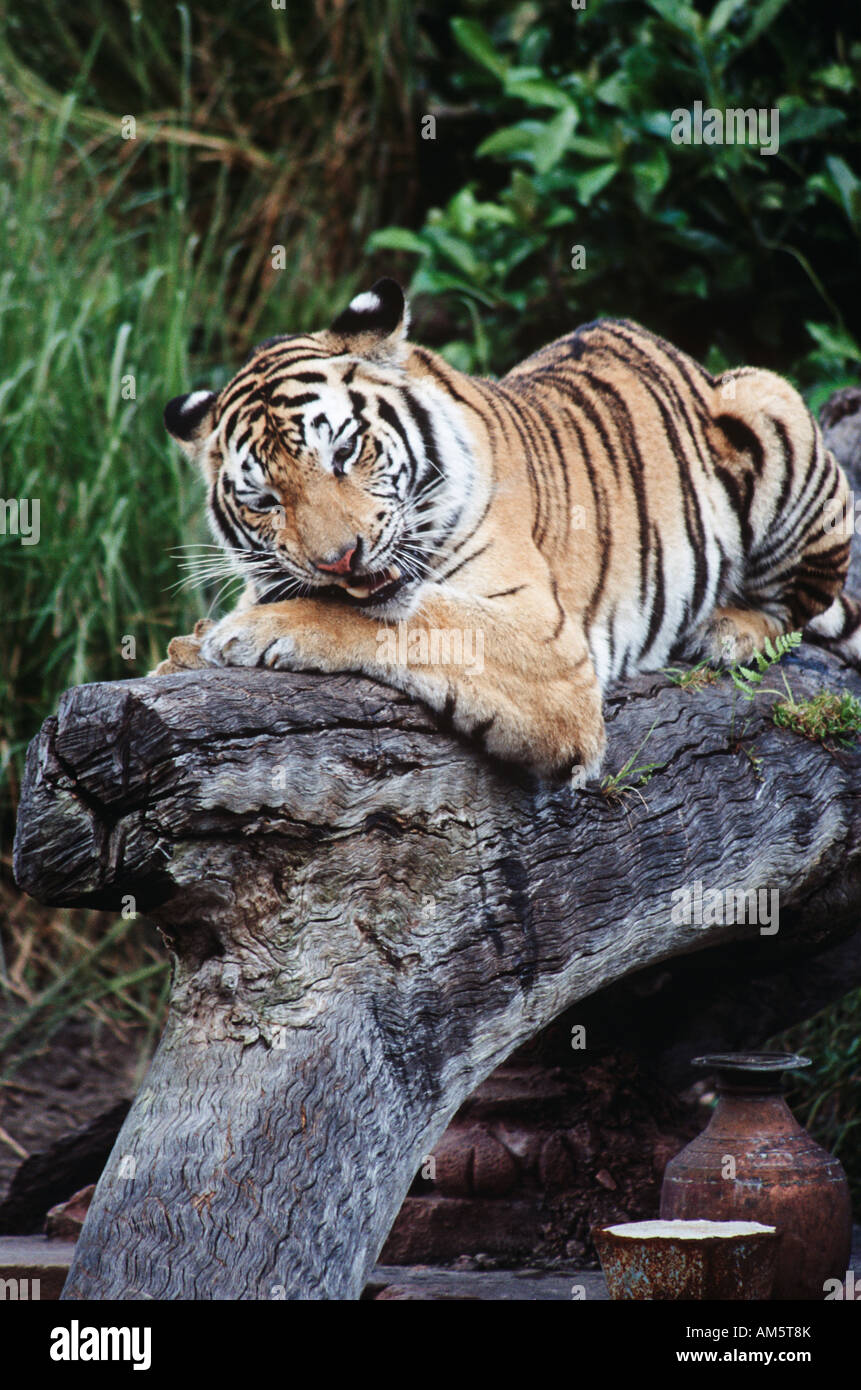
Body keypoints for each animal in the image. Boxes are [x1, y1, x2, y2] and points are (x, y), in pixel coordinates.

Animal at [160, 277, 861, 781]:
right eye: (265, 499)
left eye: (345, 451)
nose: (339, 560)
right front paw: (186, 651)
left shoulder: (548, 646)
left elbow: (403, 616)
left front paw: (248, 632)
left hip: (768, 403)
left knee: (798, 605)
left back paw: (728, 631)